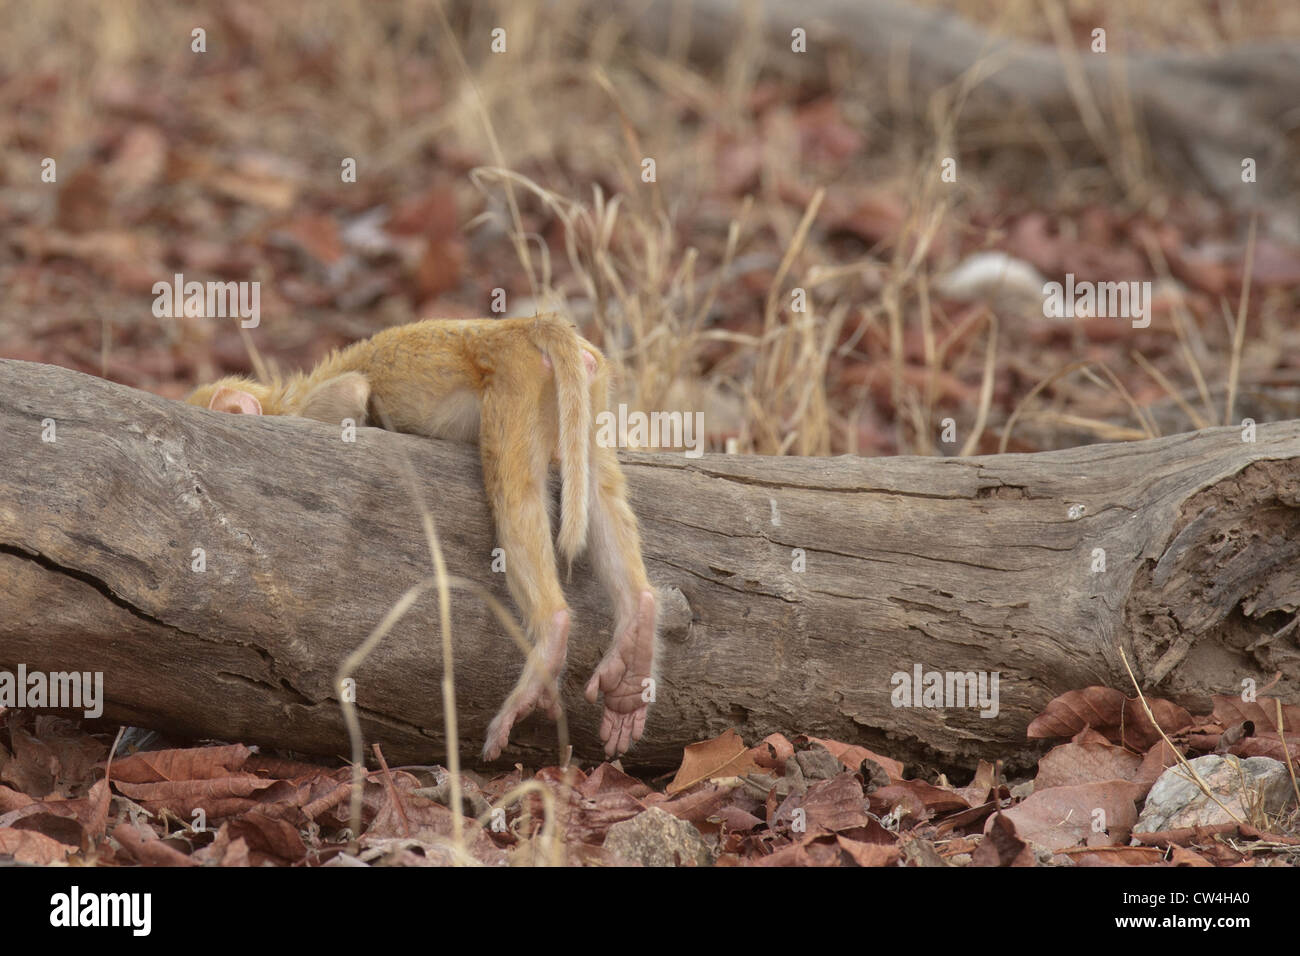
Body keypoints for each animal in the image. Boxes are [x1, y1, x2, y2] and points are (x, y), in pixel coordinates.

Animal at [186, 314, 659, 761]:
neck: (283, 403)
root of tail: (523, 328)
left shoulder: (316, 409)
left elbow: (352, 394)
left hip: (515, 384)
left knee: (516, 492)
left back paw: (552, 632)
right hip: (585, 391)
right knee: (600, 487)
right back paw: (638, 631)